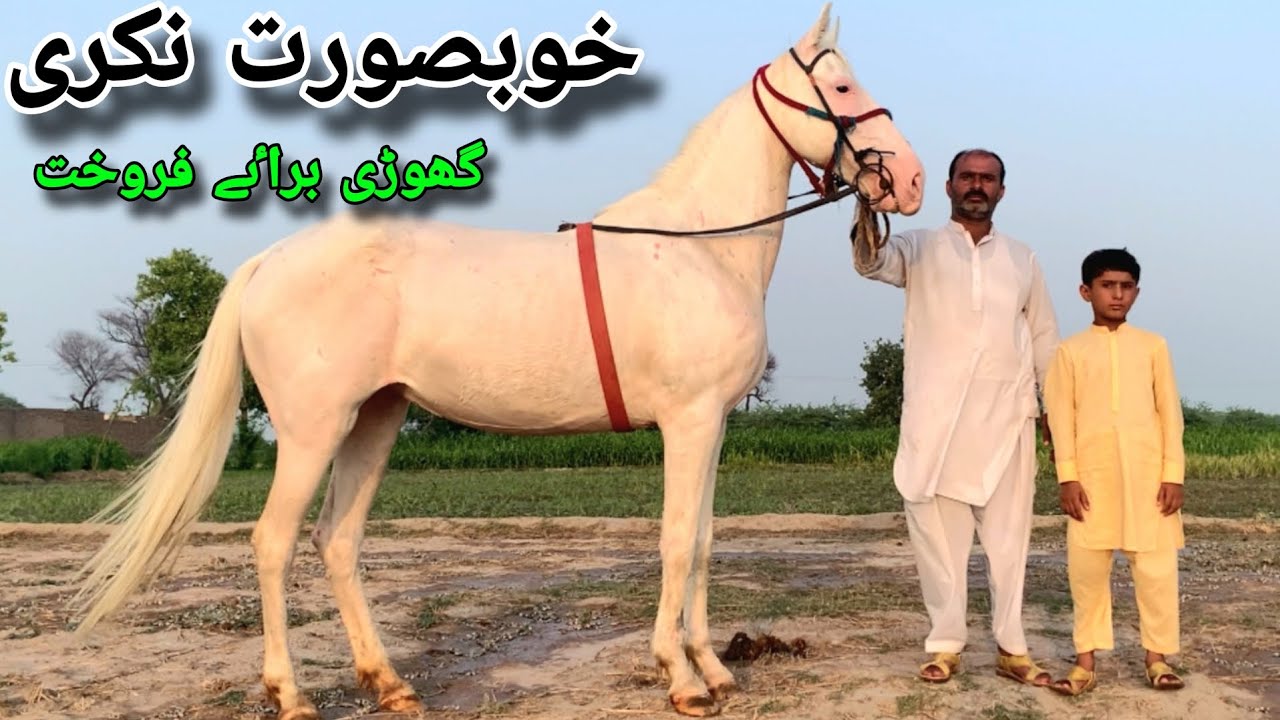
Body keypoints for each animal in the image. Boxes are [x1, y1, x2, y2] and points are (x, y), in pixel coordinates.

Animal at [70, 4, 924, 717]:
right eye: (841, 85)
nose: (911, 180)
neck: (700, 247)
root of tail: (269, 261)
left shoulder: (711, 424)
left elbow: (707, 541)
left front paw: (713, 668)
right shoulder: (687, 422)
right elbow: (678, 540)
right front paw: (680, 678)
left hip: (374, 421)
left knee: (336, 542)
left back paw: (389, 684)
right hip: (314, 429)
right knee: (274, 543)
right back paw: (292, 695)